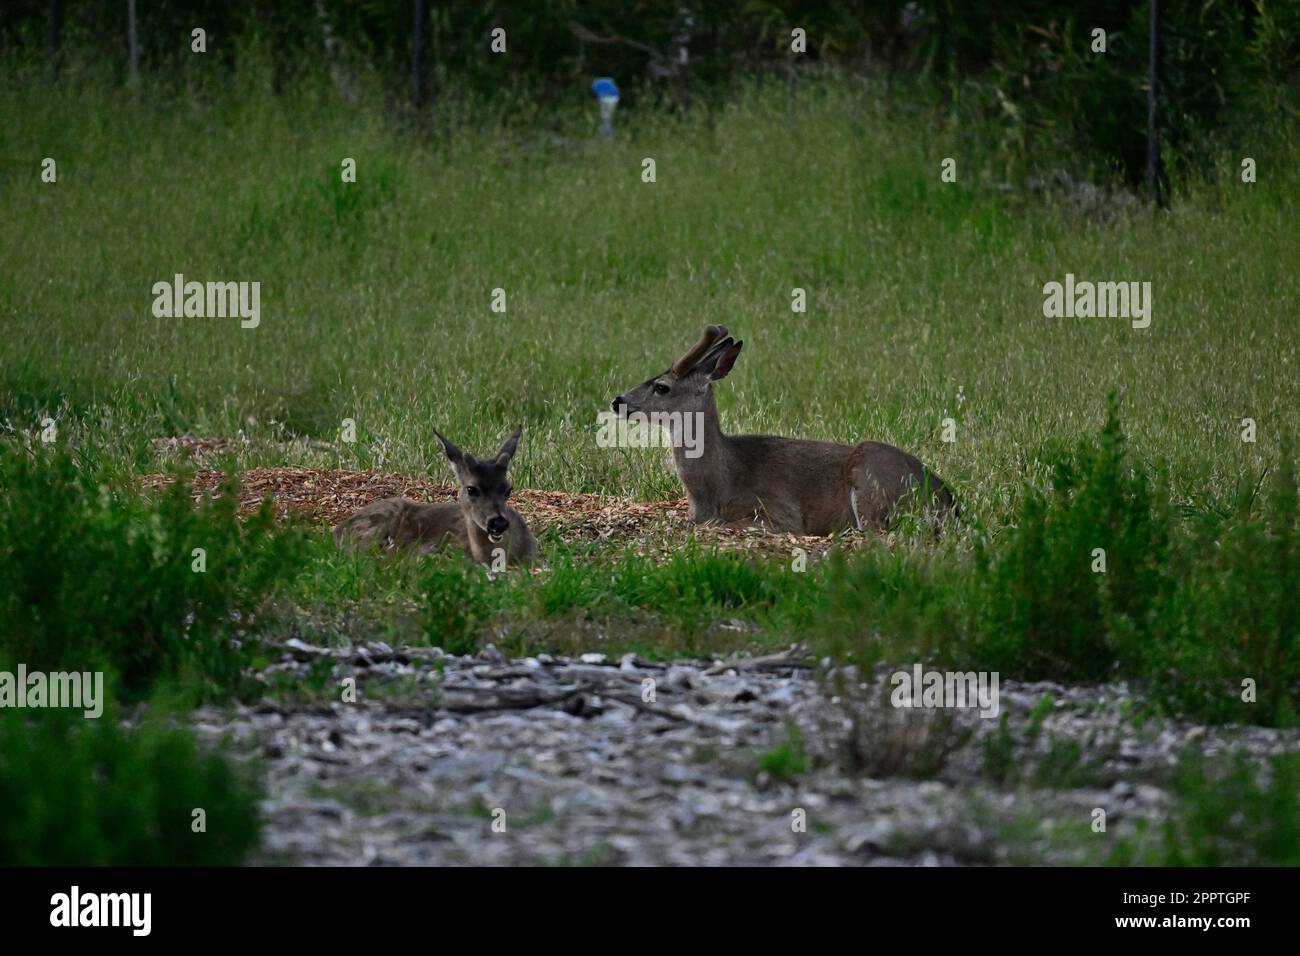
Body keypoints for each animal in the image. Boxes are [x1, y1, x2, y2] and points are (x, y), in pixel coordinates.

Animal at [610, 326, 956, 535]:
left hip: (870, 475)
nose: (618, 401)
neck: (717, 483)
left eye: (661, 387)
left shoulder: (779, 511)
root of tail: (948, 500)